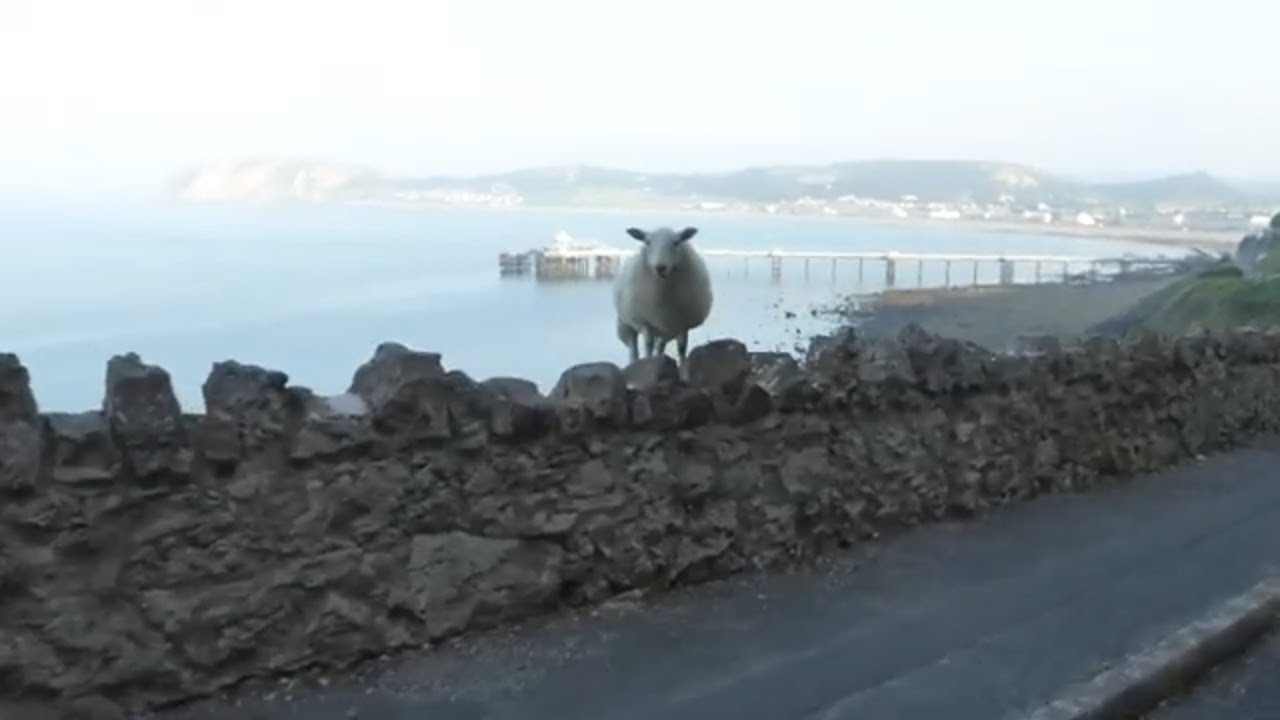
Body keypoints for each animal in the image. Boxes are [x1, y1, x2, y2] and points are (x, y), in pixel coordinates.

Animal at [612, 225, 714, 370]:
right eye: (647, 242)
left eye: (676, 242)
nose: (660, 267)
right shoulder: (645, 322)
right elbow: (648, 345)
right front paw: (647, 361)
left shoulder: (682, 324)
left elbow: (682, 348)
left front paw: (683, 366)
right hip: (625, 324)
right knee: (633, 349)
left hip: (665, 331)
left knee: (660, 347)